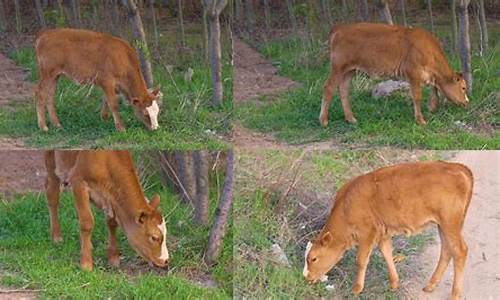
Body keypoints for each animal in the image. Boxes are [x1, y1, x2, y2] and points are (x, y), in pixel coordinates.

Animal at [304, 162, 472, 300]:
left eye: (313, 258)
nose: (306, 277)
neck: (346, 206)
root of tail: (458, 167)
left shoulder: (367, 232)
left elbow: (361, 261)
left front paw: (357, 289)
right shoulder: (382, 232)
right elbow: (387, 254)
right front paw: (394, 283)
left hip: (450, 223)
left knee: (460, 250)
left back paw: (455, 294)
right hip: (444, 224)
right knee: (446, 250)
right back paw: (431, 285)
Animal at [320, 23, 468, 126]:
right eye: (463, 88)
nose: (467, 102)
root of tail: (340, 27)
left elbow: (435, 90)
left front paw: (432, 107)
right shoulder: (413, 73)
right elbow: (417, 97)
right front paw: (420, 120)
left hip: (349, 71)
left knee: (343, 90)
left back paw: (351, 119)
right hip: (338, 68)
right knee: (328, 88)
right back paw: (323, 120)